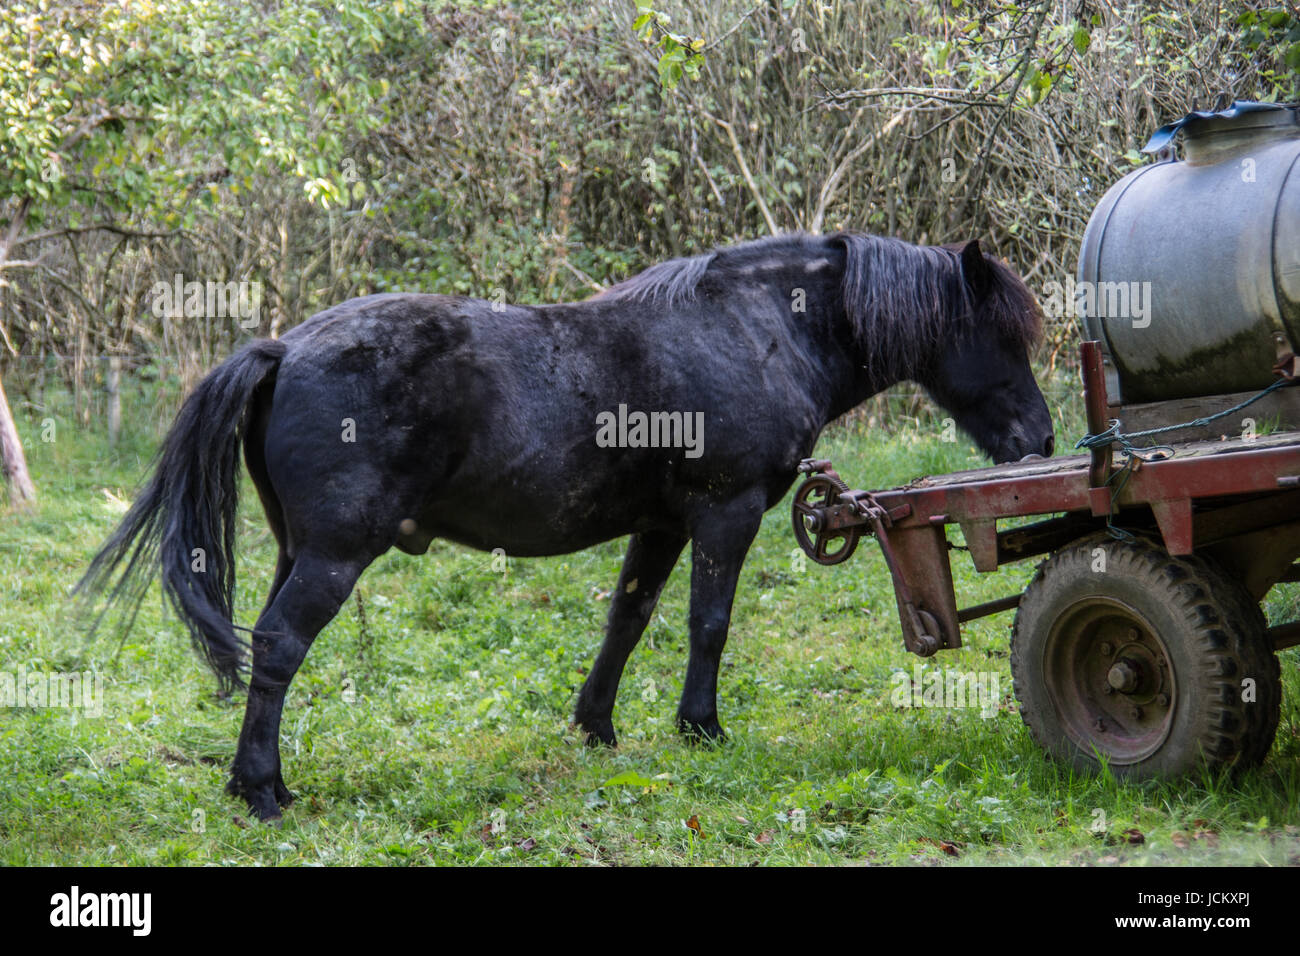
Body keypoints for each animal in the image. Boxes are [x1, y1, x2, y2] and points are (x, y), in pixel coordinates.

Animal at [78, 231, 1053, 821]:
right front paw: (701, 727)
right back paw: (261, 791)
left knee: (267, 649)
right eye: (999, 335)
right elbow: (709, 622)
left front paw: (597, 726)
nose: (1039, 440)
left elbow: (629, 618)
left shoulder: (661, 525)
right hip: (334, 557)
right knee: (280, 645)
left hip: (297, 551)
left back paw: (265, 777)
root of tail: (283, 347)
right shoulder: (727, 512)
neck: (756, 329)